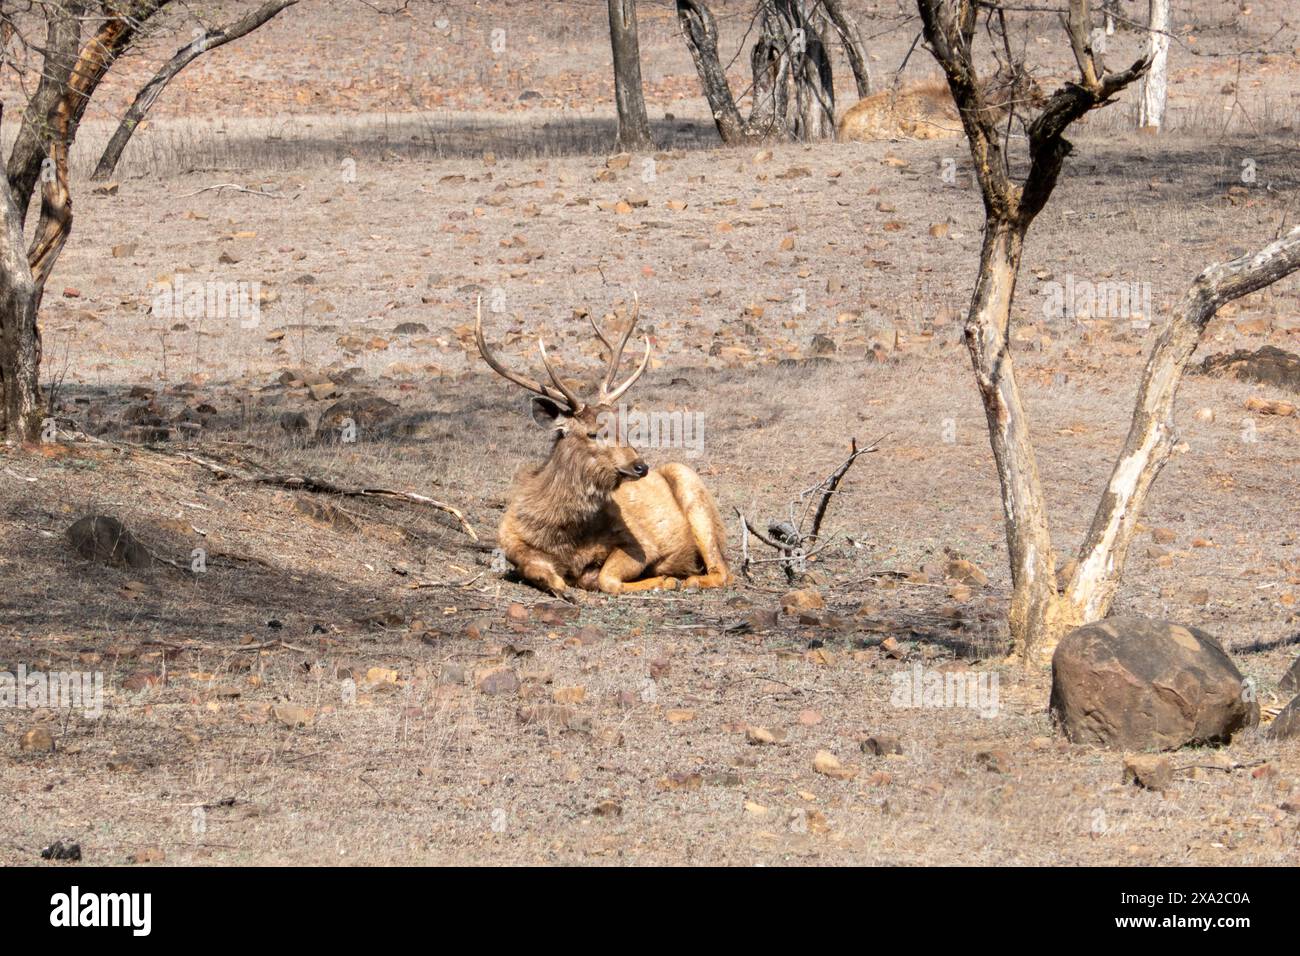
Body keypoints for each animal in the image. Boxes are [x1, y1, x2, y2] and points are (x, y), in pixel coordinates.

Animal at [476, 296, 730, 599]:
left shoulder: (641, 543)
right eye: (592, 433)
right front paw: (562, 586)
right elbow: (533, 569)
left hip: (693, 490)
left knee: (722, 570)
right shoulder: (509, 541)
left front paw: (665, 580)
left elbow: (608, 578)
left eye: (625, 427)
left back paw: (687, 580)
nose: (640, 466)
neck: (560, 535)